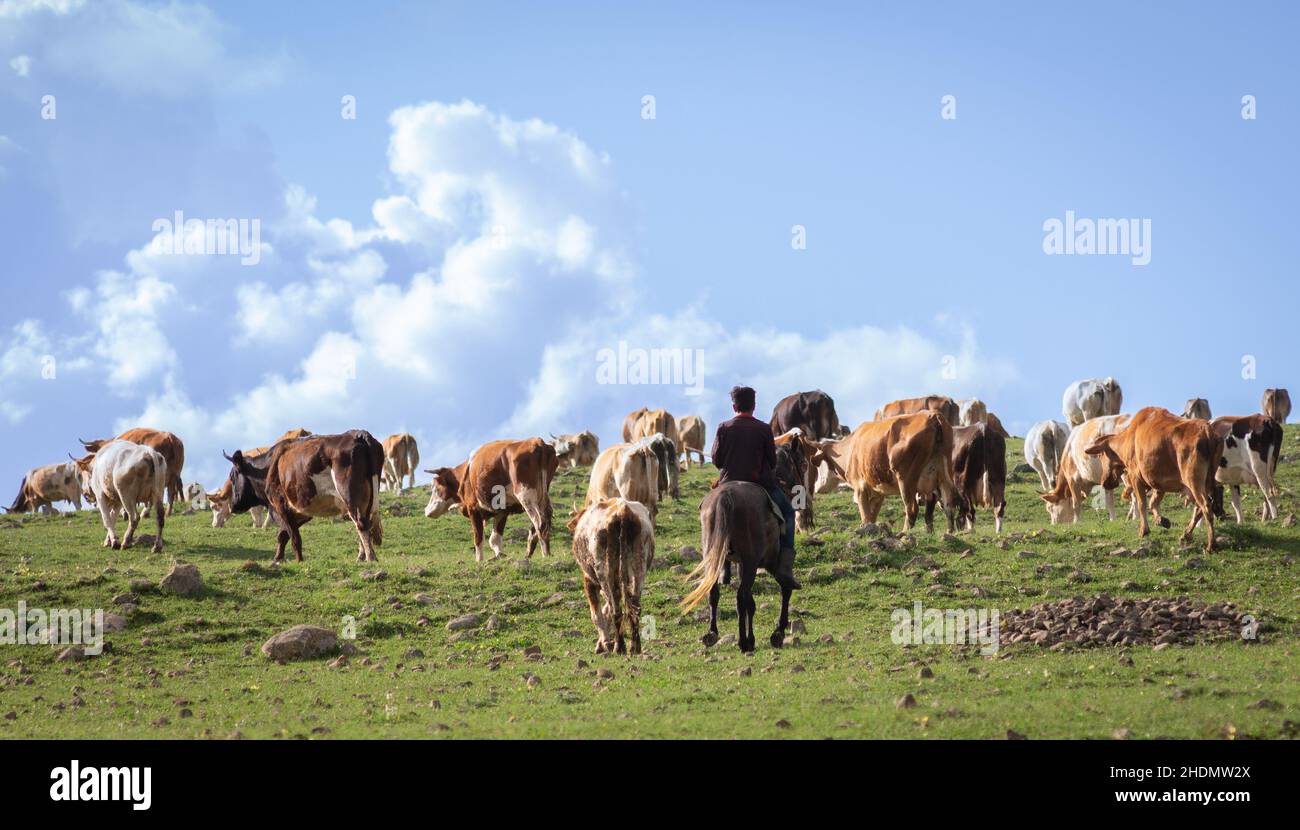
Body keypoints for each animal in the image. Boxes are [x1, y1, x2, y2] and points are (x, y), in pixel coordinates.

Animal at [223, 430, 385, 563]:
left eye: (232, 476)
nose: (233, 506)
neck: (268, 468)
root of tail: (359, 434)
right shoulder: (301, 511)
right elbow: (283, 535)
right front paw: (278, 559)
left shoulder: (280, 505)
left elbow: (294, 537)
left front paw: (299, 561)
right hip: (367, 498)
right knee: (365, 523)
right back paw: (361, 556)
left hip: (349, 495)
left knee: (361, 523)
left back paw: (371, 557)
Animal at [424, 437, 558, 562]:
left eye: (434, 487)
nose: (426, 510)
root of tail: (537, 442)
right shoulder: (502, 510)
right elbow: (494, 539)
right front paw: (500, 555)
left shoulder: (473, 508)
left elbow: (478, 538)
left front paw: (479, 560)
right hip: (542, 495)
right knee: (542, 522)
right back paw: (531, 554)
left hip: (525, 495)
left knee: (540, 522)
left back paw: (545, 554)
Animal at [567, 497, 655, 654]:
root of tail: (623, 511)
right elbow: (606, 609)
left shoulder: (588, 580)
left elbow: (597, 613)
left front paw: (604, 643)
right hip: (639, 566)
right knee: (634, 607)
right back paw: (634, 647)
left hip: (604, 571)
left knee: (616, 609)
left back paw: (619, 647)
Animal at [1084, 407, 1222, 552]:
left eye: (1100, 455)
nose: (1104, 482)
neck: (1129, 438)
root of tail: (1206, 430)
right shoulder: (1158, 483)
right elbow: (1153, 503)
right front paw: (1161, 520)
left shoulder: (1136, 477)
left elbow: (1142, 504)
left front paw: (1144, 530)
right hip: (1207, 481)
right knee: (1200, 508)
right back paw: (1186, 534)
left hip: (1193, 480)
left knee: (1205, 506)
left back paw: (1210, 545)